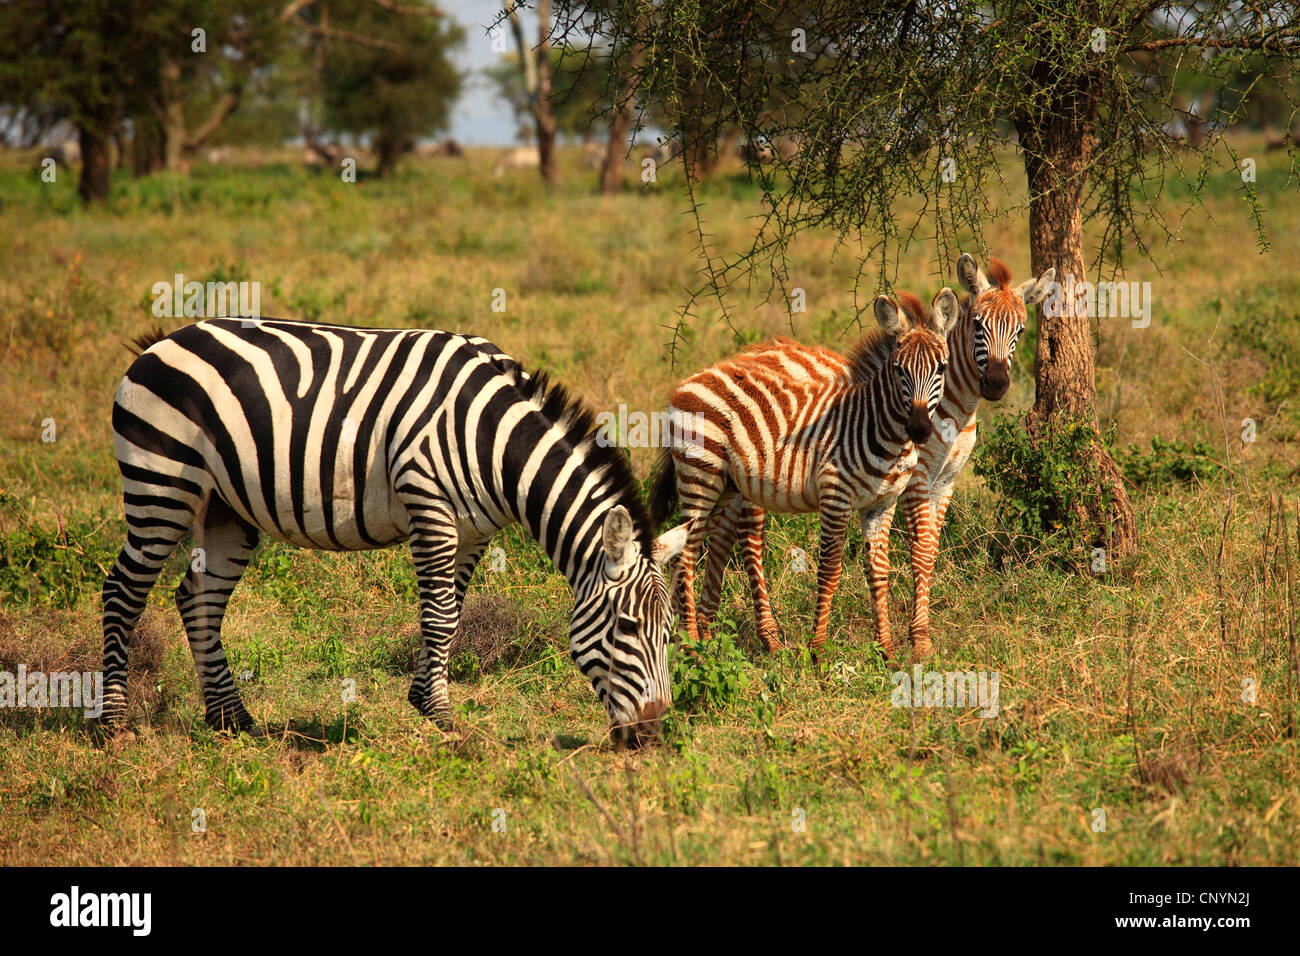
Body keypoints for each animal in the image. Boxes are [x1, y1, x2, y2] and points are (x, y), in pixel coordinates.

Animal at [98, 321, 691, 749]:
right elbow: (441, 615)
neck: (494, 440)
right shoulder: (429, 506)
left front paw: (426, 698)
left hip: (225, 507)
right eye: (628, 627)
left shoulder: (473, 532)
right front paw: (442, 716)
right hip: (162, 485)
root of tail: (162, 342)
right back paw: (114, 726)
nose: (652, 736)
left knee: (197, 599)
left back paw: (231, 719)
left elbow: (452, 613)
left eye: (669, 633)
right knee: (122, 592)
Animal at [647, 287, 956, 655]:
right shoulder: (835, 495)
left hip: (724, 484)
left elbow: (879, 572)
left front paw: (887, 652)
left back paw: (689, 638)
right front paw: (818, 650)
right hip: (700, 475)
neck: (879, 430)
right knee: (686, 555)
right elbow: (829, 570)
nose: (920, 429)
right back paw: (693, 648)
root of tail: (690, 381)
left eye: (941, 368)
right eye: (899, 371)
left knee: (696, 545)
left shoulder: (882, 504)